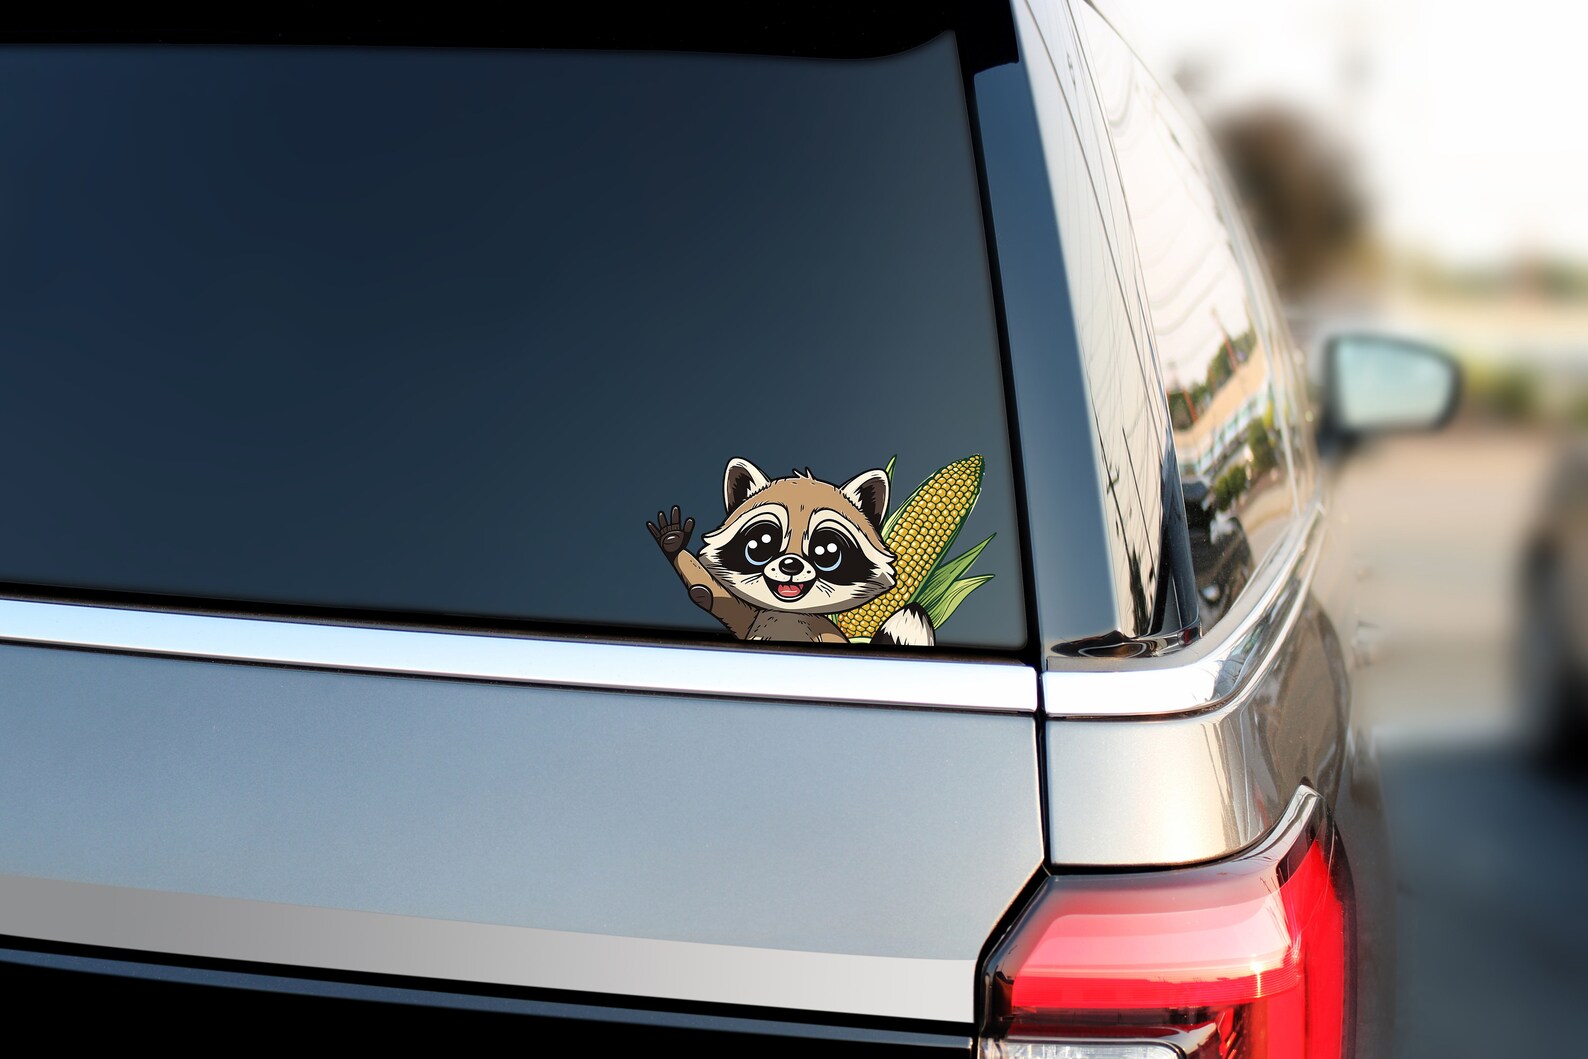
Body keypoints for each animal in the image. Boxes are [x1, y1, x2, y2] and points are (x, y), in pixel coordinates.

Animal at [646, 458, 935, 647]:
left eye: (827, 551)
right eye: (761, 543)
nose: (790, 566)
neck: (789, 612)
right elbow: (709, 594)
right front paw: (674, 543)